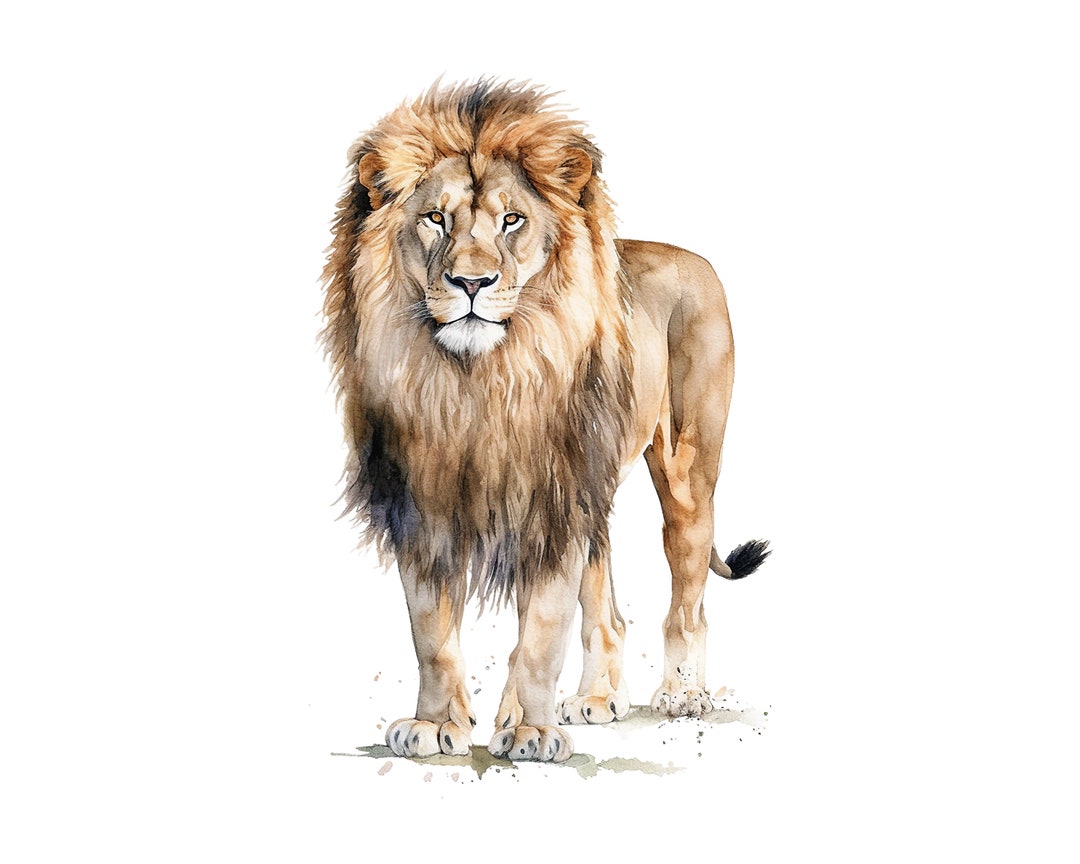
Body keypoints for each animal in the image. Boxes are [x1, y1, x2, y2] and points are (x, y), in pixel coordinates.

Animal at [322, 80, 769, 763]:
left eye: (512, 220)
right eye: (435, 218)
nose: (471, 281)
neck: (475, 384)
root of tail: (688, 256)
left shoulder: (554, 496)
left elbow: (542, 630)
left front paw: (530, 731)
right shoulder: (422, 501)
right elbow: (431, 632)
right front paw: (434, 726)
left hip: (684, 474)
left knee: (688, 597)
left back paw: (681, 694)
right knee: (609, 613)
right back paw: (598, 699)